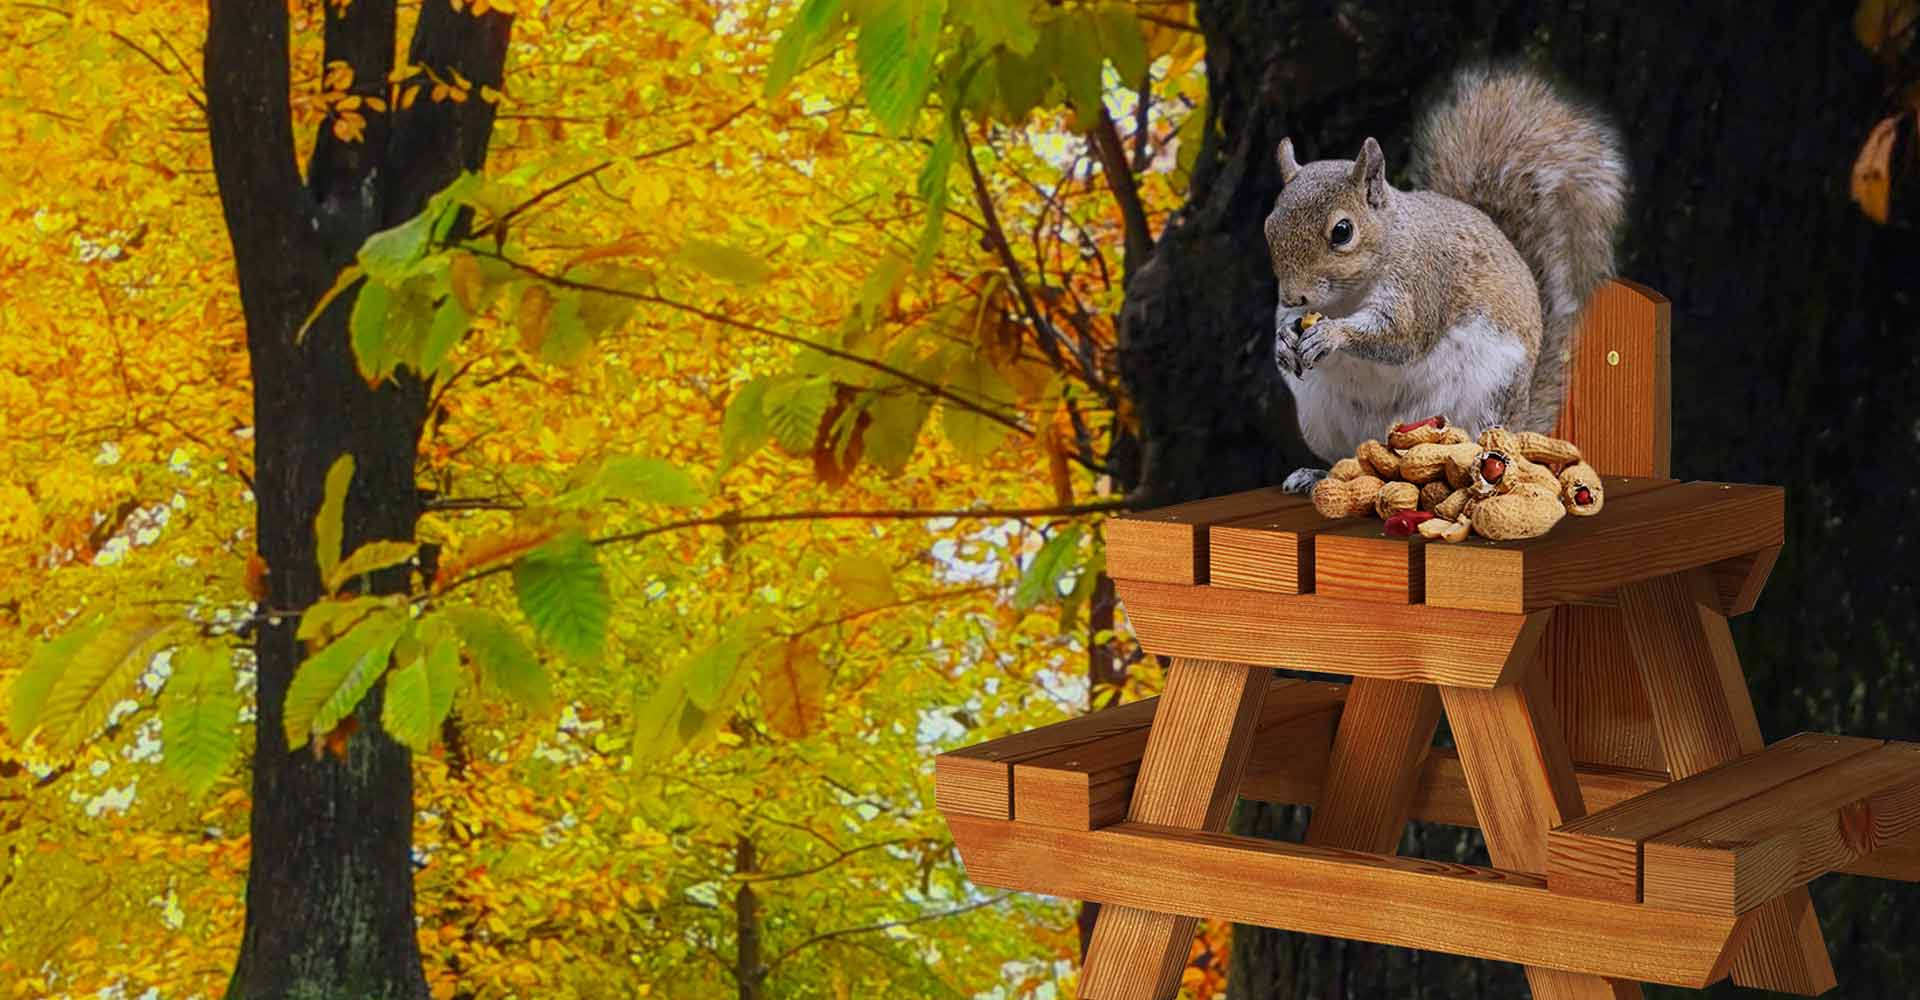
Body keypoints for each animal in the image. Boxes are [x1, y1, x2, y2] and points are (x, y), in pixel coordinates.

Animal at [1266, 66, 1627, 493]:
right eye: (1269, 227)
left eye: (1342, 231)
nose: (1294, 297)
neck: (1347, 296)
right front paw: (1284, 339)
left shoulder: (1423, 283)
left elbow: (1400, 335)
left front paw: (1331, 335)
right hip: (1323, 419)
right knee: (1354, 460)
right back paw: (1318, 474)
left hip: (1486, 401)